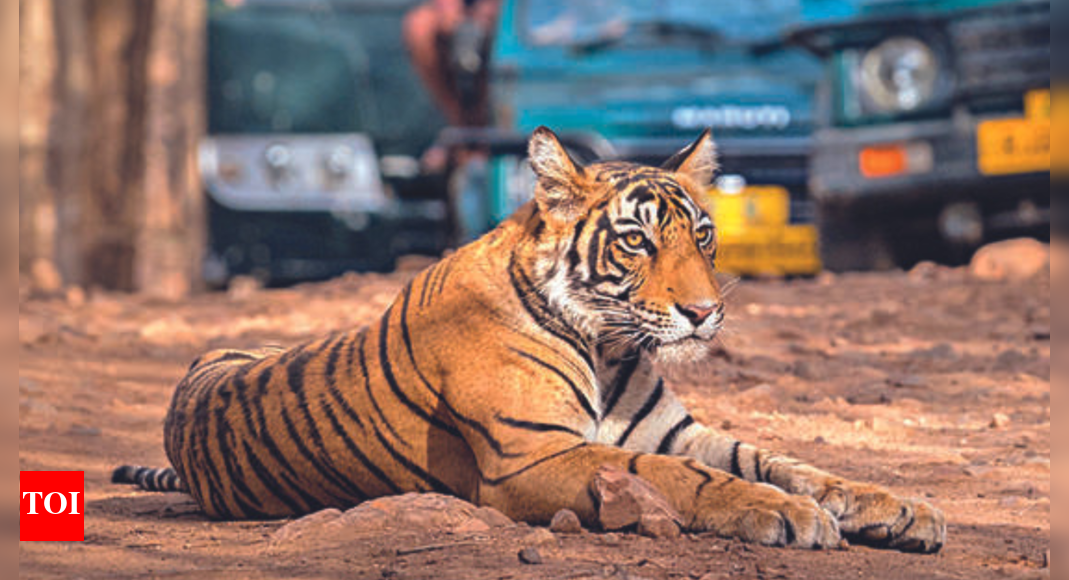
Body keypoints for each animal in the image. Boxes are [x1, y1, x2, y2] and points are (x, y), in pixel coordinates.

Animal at [114, 127, 946, 552]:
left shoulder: (673, 429)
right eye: (639, 241)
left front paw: (900, 508)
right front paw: (789, 515)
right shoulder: (532, 456)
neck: (608, 344)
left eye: (702, 235)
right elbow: (685, 478)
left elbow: (789, 462)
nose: (704, 312)